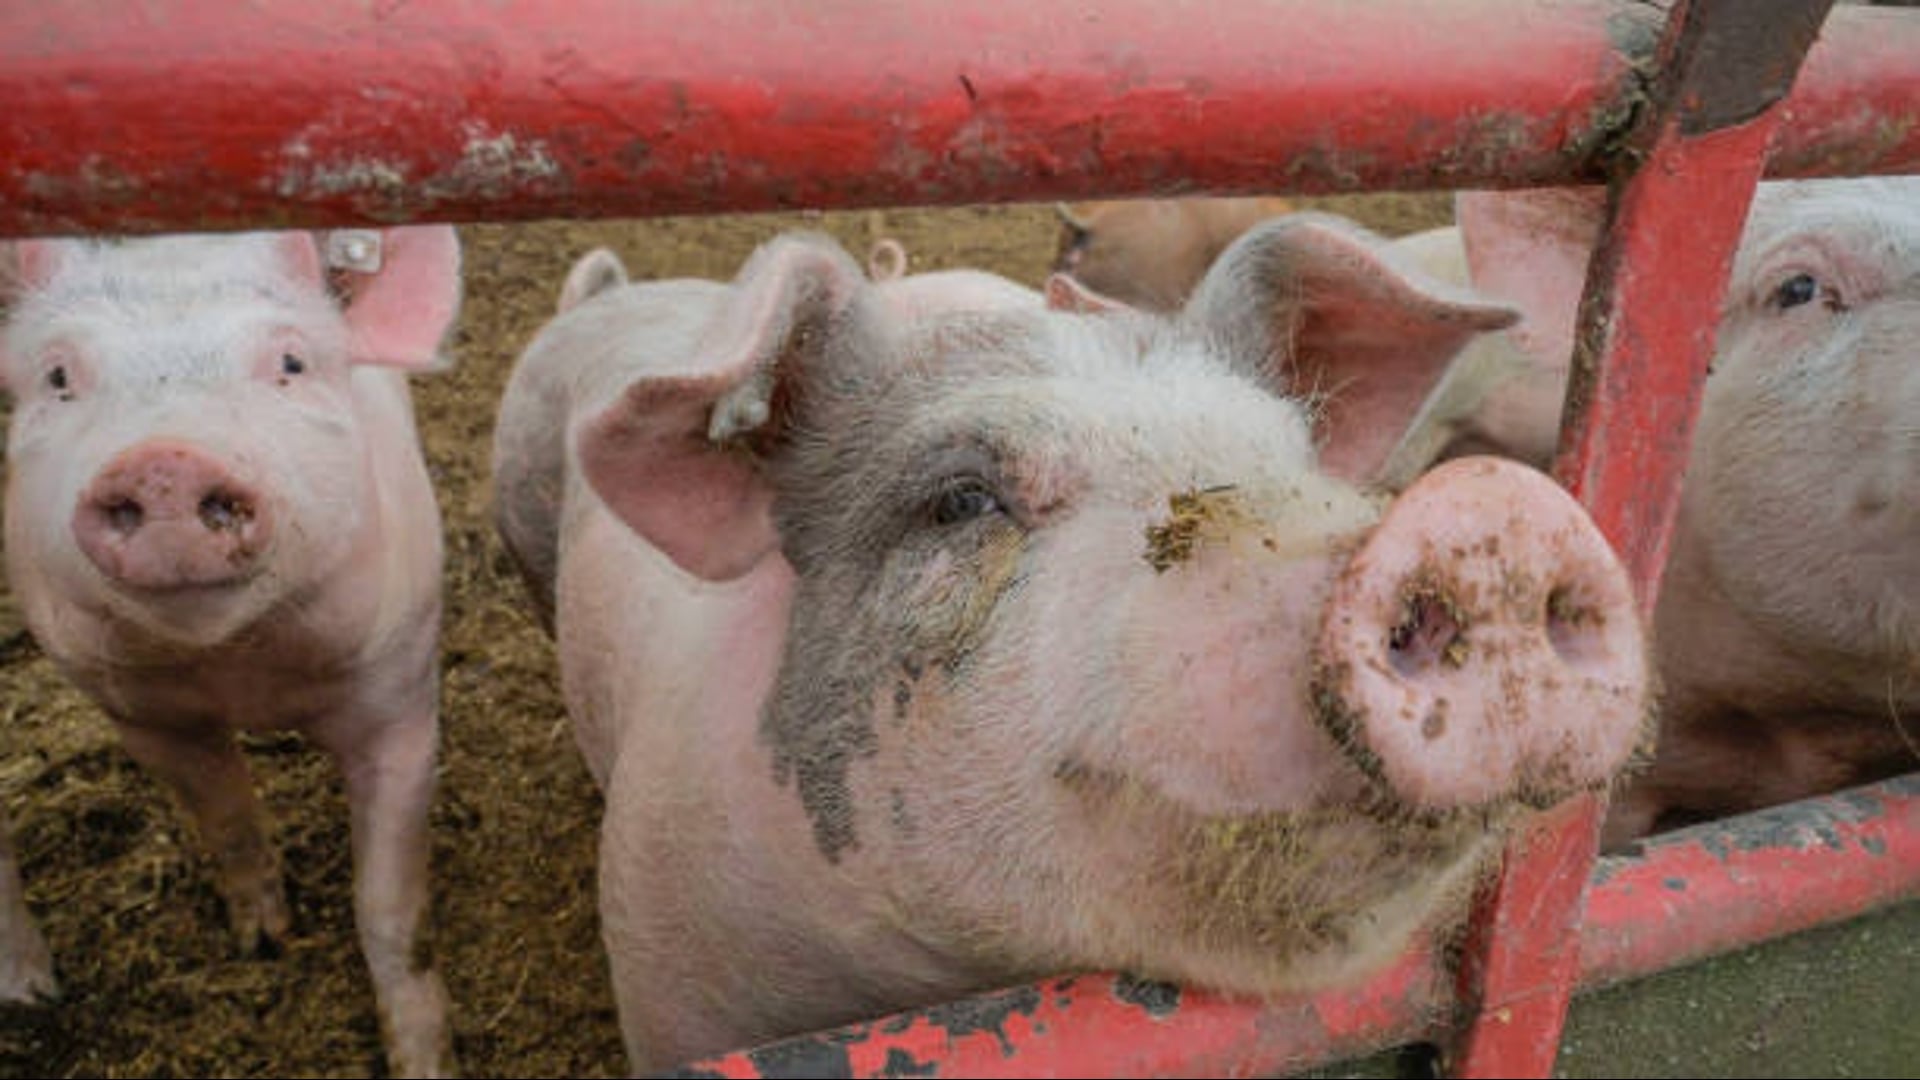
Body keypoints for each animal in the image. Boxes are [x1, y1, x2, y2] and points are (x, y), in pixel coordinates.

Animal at [0, 227, 461, 1077]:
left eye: (292, 363)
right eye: (57, 376)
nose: (162, 461)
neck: (238, 667)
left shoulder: (402, 692)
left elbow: (389, 909)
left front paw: (424, 1060)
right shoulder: (142, 711)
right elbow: (225, 816)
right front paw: (265, 941)